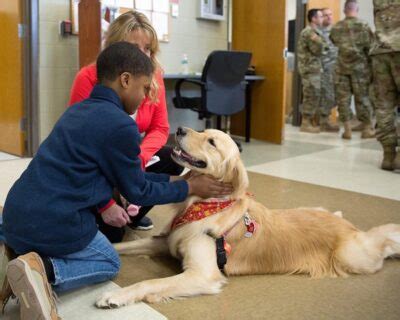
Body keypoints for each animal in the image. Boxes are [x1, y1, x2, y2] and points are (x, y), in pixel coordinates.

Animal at [96, 127, 400, 308]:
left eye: (211, 141)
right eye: (202, 131)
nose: (180, 128)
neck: (204, 204)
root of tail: (348, 226)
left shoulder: (203, 273)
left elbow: (150, 283)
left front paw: (115, 294)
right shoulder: (165, 241)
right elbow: (122, 246)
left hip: (354, 256)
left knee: (382, 242)